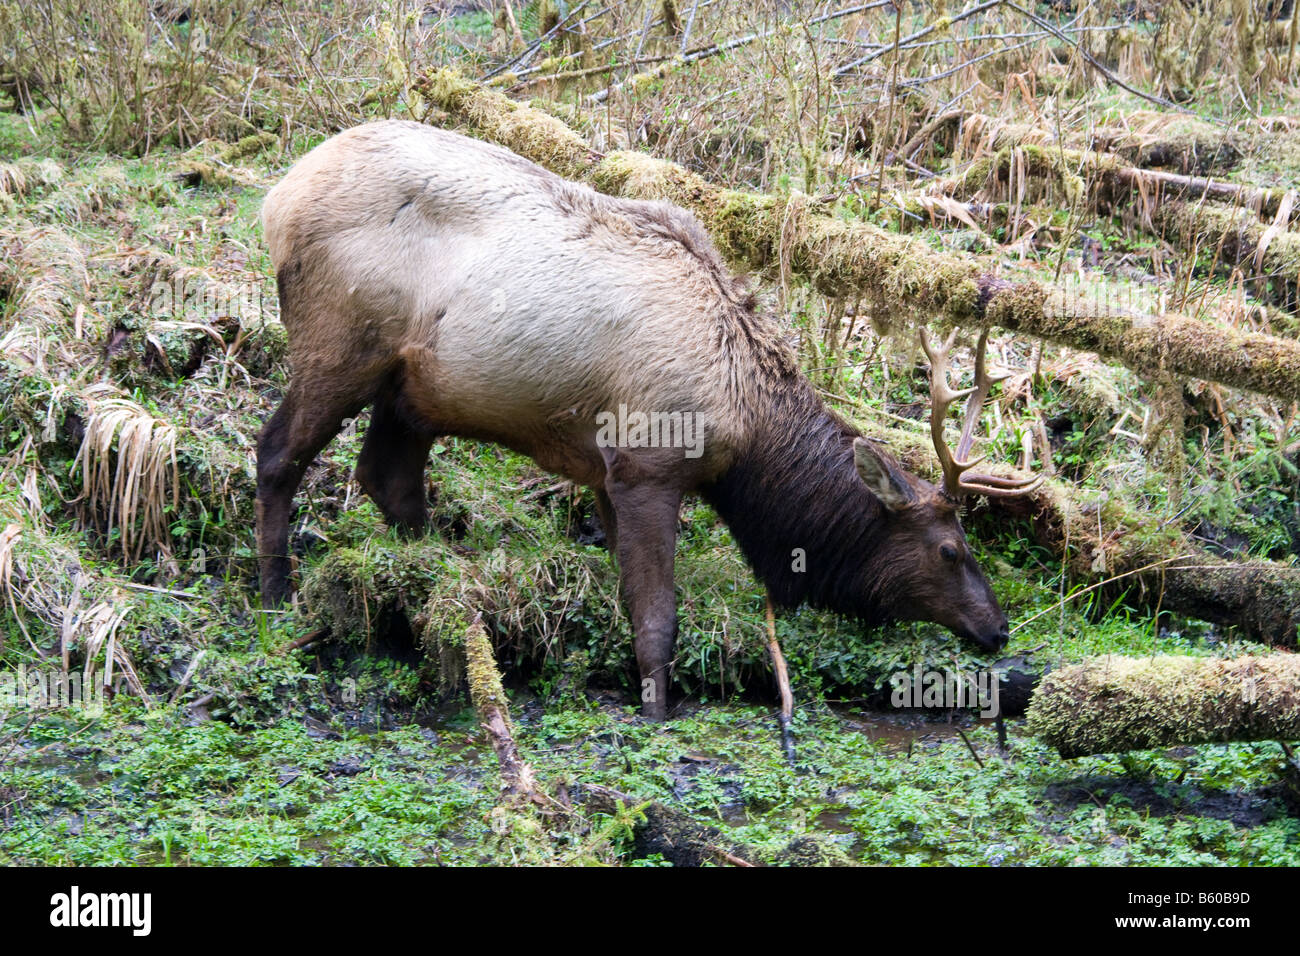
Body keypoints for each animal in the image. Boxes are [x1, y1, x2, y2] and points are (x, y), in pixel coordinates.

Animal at [256, 119, 1042, 719]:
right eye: (950, 549)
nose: (999, 629)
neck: (749, 434)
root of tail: (275, 198)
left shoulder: (605, 474)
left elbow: (626, 596)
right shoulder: (647, 465)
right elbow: (658, 615)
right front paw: (657, 711)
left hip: (414, 388)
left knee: (386, 476)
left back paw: (432, 585)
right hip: (340, 341)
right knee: (277, 454)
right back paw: (275, 594)